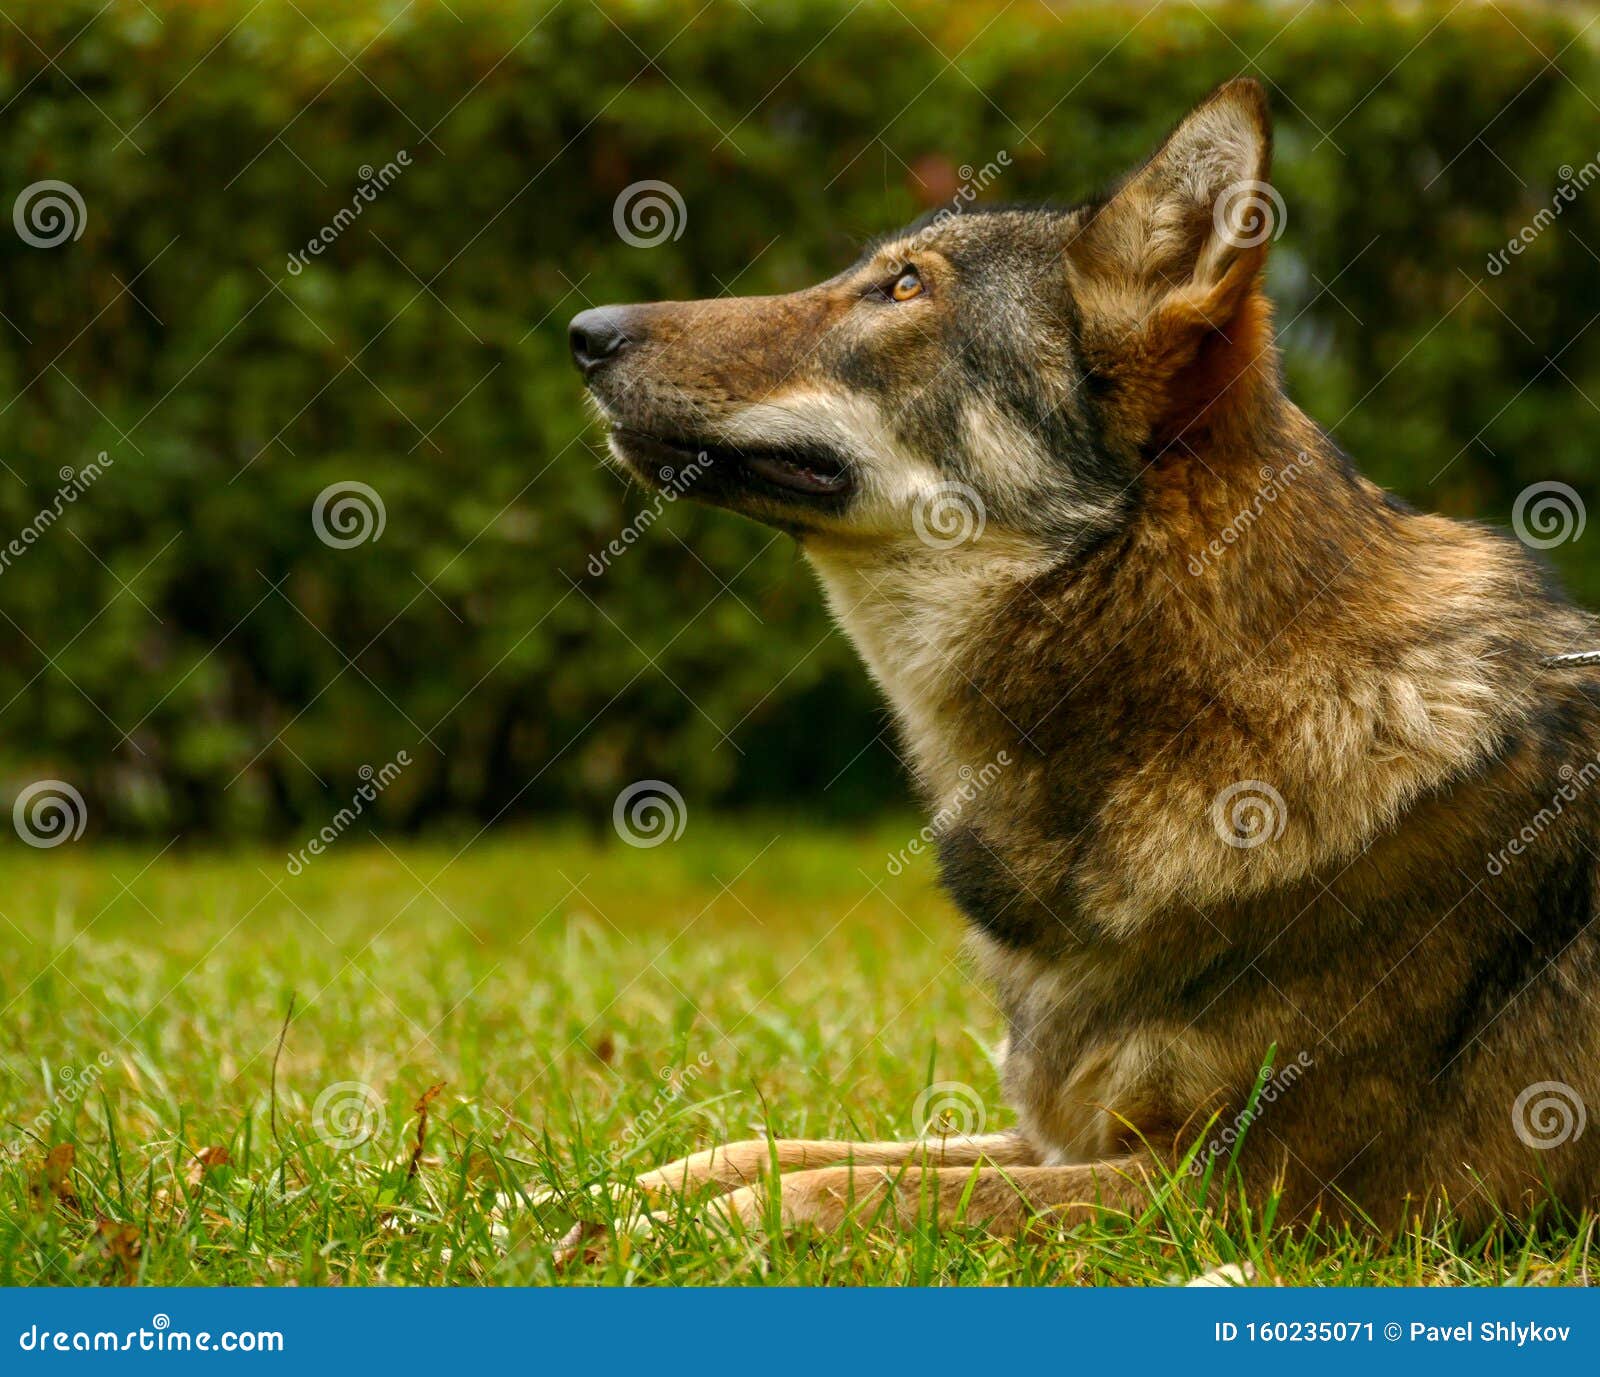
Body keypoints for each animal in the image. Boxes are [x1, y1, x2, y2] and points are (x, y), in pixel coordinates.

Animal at [568, 79, 1600, 1243]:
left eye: (903, 288)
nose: (584, 332)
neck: (1189, 703)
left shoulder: (1229, 1196)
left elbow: (841, 1186)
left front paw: (658, 1235)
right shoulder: (1061, 1136)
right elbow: (764, 1146)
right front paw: (565, 1198)